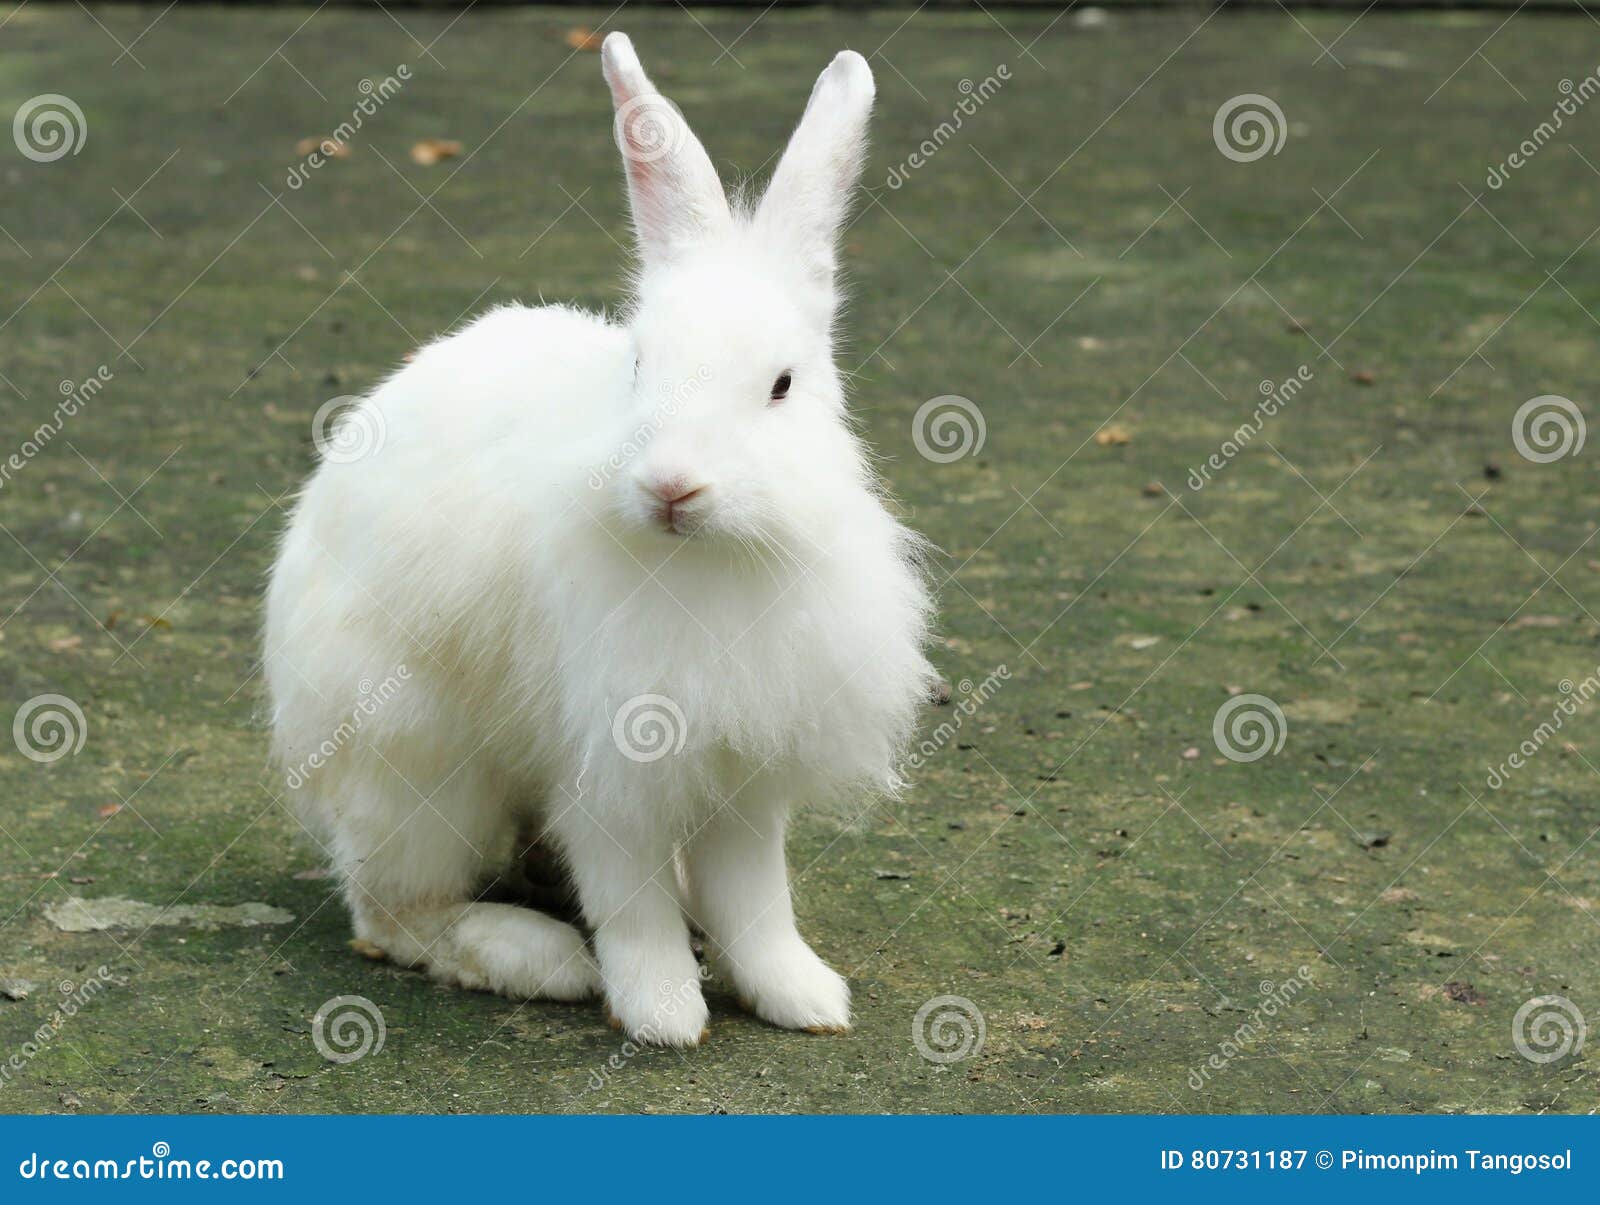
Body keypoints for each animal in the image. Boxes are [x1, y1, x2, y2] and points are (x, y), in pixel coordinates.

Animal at [263, 31, 936, 1048]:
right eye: (639, 366)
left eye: (783, 385)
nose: (672, 486)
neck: (704, 558)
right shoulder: (608, 769)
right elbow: (629, 899)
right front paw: (664, 1014)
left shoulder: (747, 773)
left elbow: (757, 898)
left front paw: (805, 998)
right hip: (416, 767)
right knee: (392, 914)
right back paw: (534, 957)